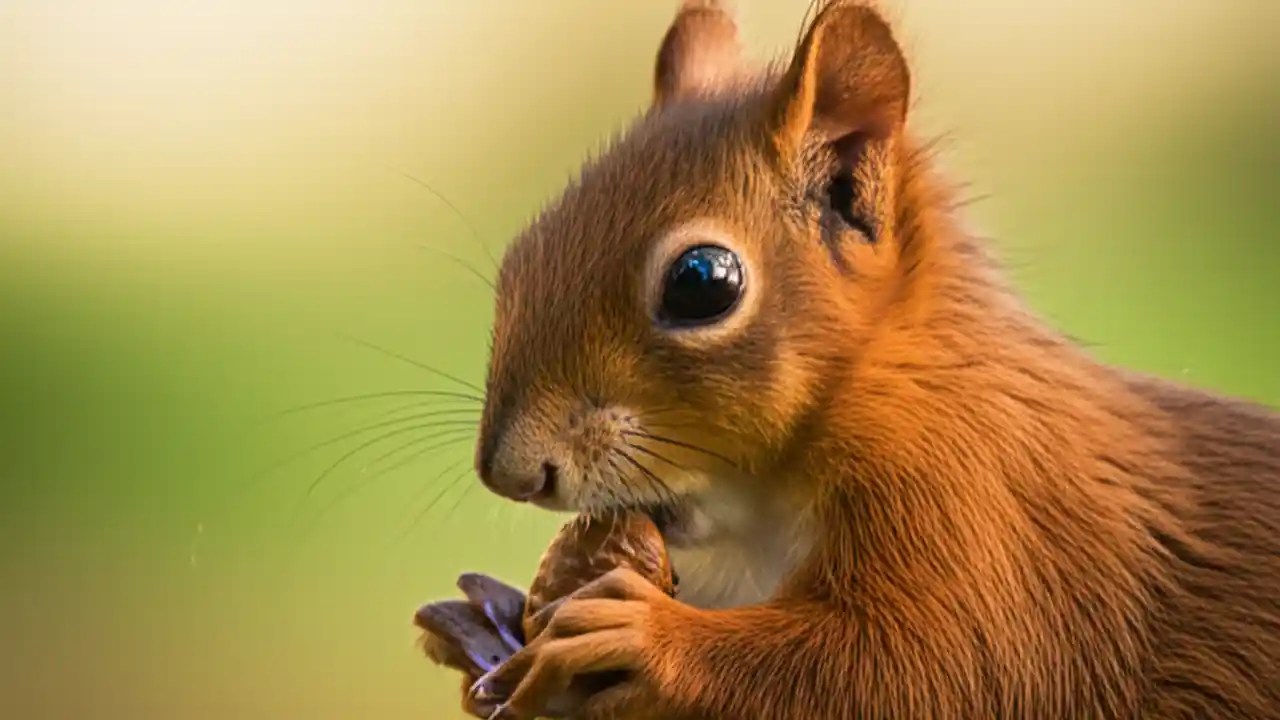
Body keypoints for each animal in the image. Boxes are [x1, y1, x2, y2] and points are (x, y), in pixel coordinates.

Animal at [464, 1, 1280, 718]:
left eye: (701, 282)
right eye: (522, 252)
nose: (509, 472)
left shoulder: (983, 514)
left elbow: (925, 666)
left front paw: (640, 637)